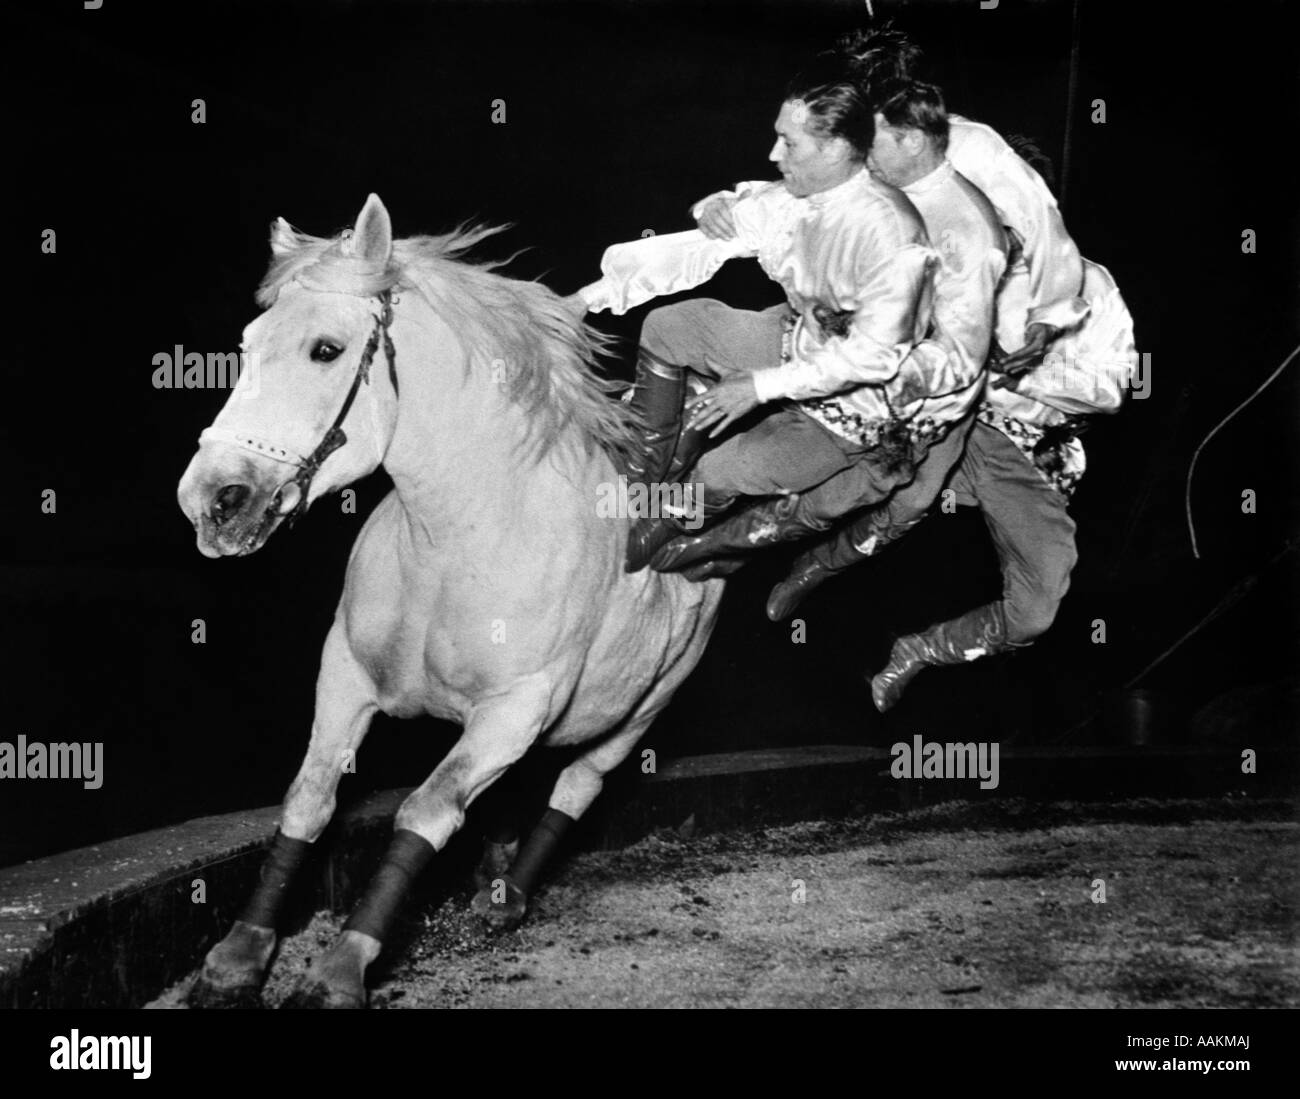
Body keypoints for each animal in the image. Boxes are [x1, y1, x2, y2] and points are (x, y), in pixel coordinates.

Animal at [176, 194, 725, 1008]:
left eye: (325, 350)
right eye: (246, 346)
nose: (212, 500)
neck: (453, 538)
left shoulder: (512, 713)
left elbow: (426, 811)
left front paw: (343, 964)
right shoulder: (345, 675)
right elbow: (308, 799)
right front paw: (240, 953)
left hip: (645, 708)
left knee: (577, 785)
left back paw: (510, 898)